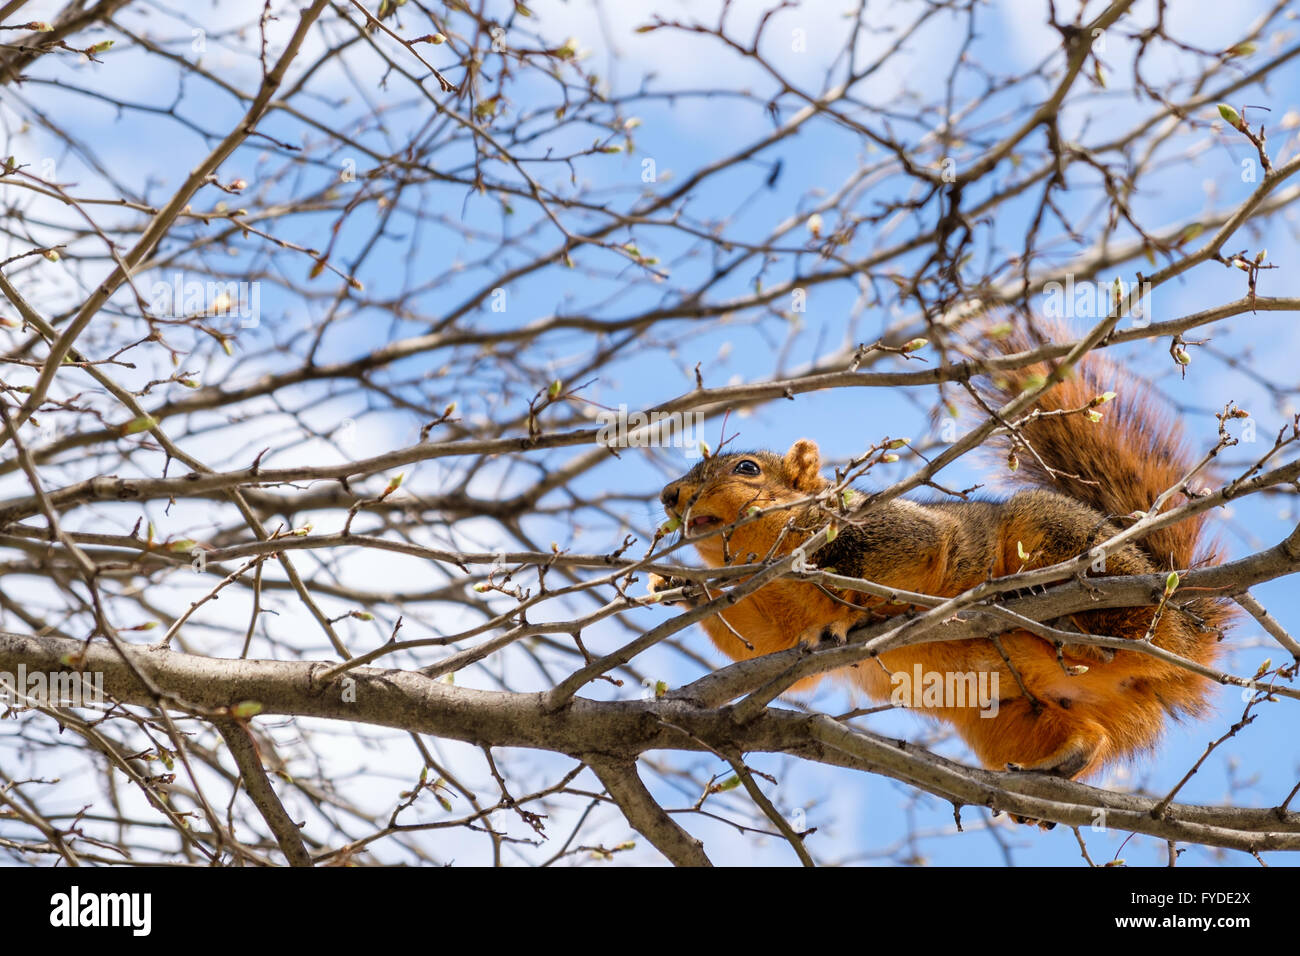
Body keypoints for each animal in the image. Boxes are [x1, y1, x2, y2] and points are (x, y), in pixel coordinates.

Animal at [648, 328, 1234, 780]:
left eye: (746, 468)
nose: (669, 495)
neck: (783, 568)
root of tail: (1187, 617)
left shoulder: (896, 534)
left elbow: (908, 562)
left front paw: (843, 621)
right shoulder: (776, 624)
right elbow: (759, 642)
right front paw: (681, 586)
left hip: (1062, 538)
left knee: (1117, 615)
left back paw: (1062, 612)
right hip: (1010, 716)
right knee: (1085, 736)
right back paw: (1060, 761)